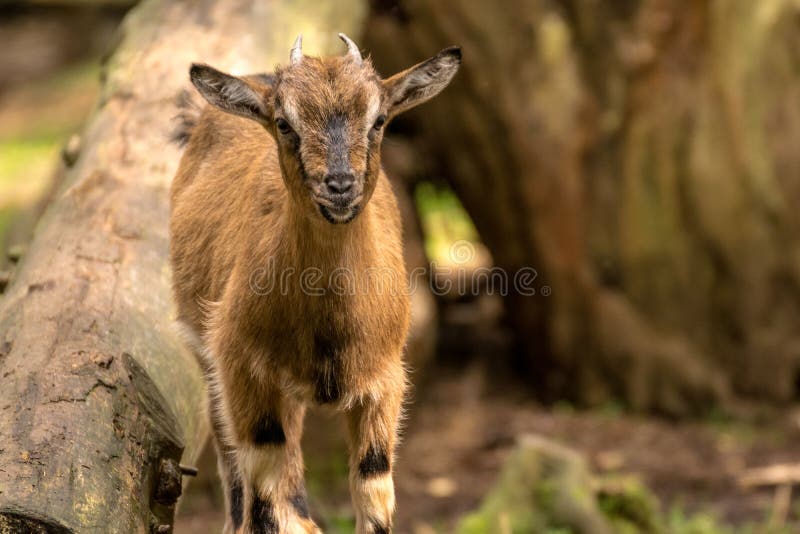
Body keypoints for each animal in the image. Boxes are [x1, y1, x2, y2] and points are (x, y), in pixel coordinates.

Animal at [169, 34, 460, 534]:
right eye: (285, 124)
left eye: (379, 119)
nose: (339, 185)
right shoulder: (243, 372)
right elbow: (269, 500)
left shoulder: (385, 383)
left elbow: (374, 494)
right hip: (213, 367)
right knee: (238, 470)